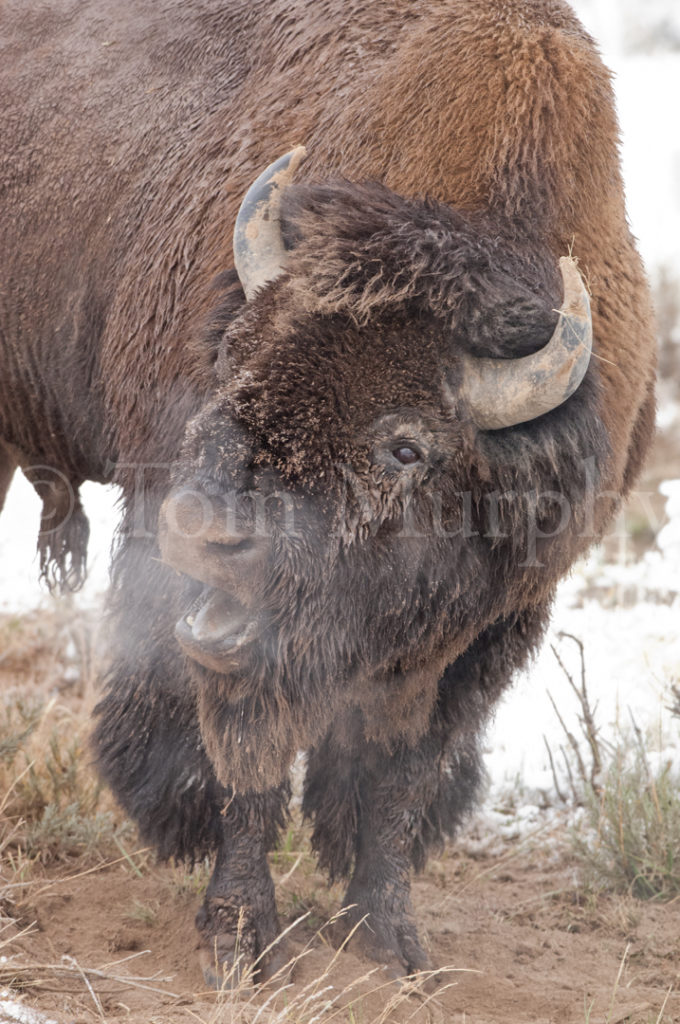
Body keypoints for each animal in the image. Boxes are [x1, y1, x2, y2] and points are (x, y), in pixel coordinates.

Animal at [1, 0, 655, 986]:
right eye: (236, 353)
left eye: (406, 446)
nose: (206, 529)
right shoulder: (236, 638)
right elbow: (249, 760)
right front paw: (238, 940)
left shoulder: (483, 635)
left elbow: (396, 778)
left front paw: (391, 939)